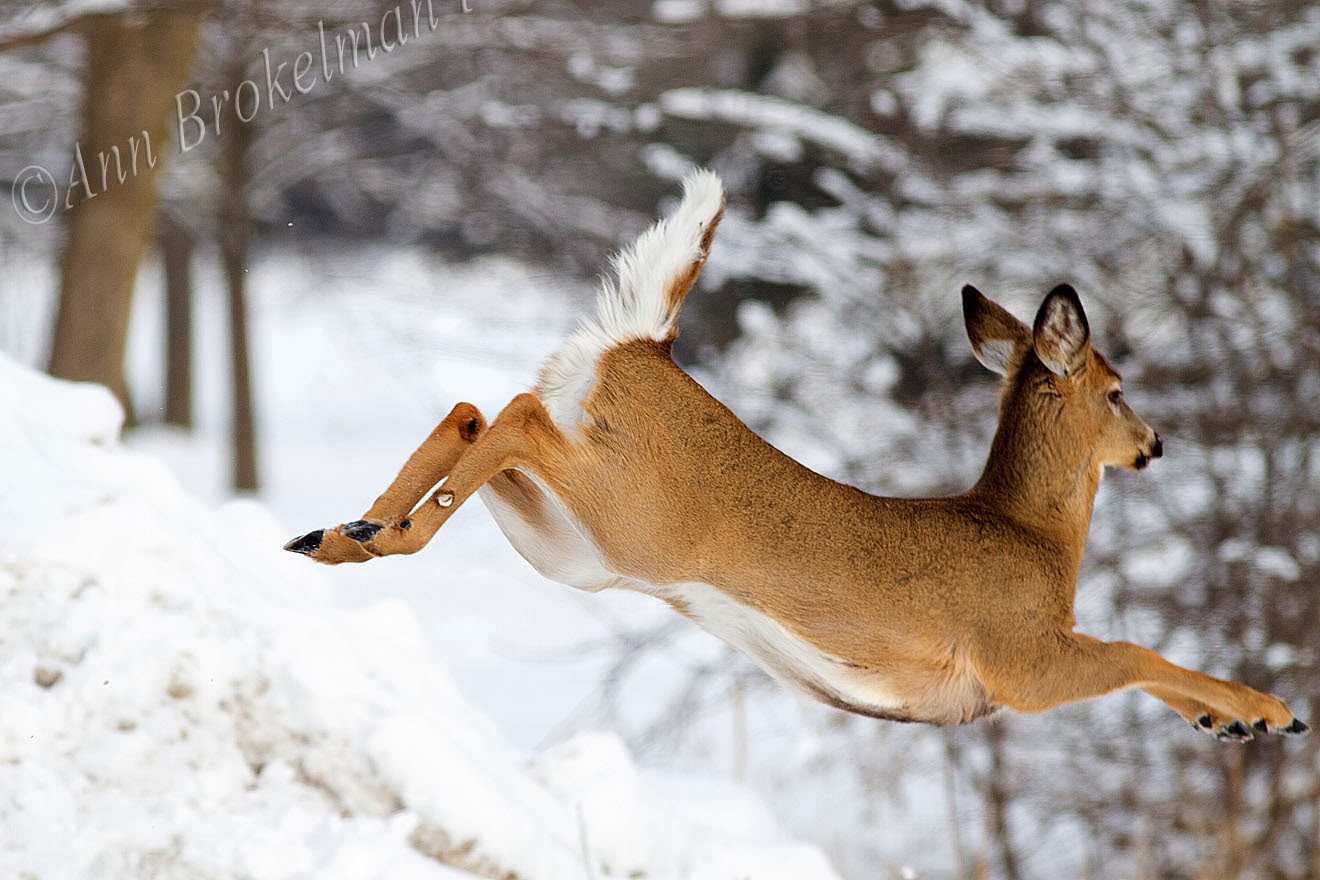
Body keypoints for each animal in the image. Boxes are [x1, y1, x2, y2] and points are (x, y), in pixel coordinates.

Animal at [285, 169, 1307, 742]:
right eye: (1118, 388)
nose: (1155, 446)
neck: (1030, 537)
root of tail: (644, 347)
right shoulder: (1019, 661)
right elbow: (1134, 649)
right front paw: (1265, 709)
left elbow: (1139, 661)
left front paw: (1228, 721)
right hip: (625, 514)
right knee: (515, 411)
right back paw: (372, 534)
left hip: (572, 544)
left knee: (469, 413)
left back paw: (342, 533)